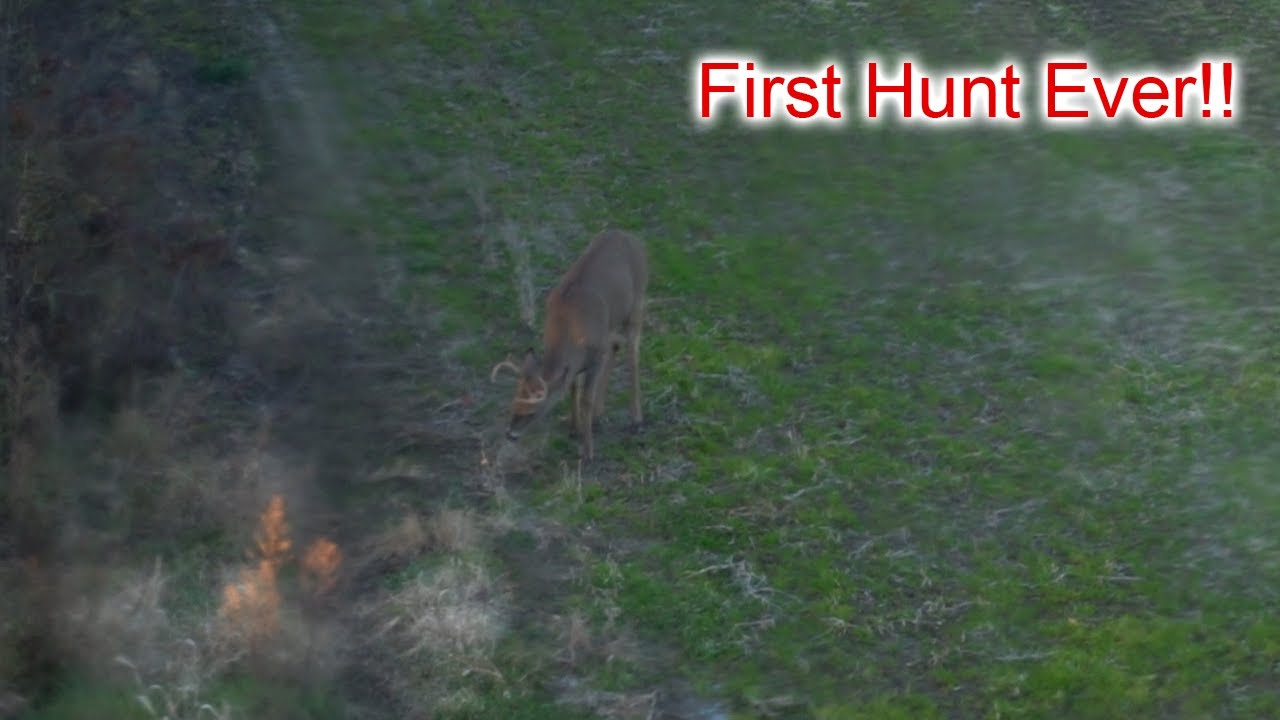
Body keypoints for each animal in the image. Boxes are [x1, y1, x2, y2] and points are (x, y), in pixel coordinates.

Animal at [490, 229, 648, 461]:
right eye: (513, 404)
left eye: (531, 412)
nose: (510, 434)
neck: (568, 327)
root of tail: (629, 236)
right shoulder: (577, 362)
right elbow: (573, 387)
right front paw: (575, 428)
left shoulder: (595, 355)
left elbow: (585, 400)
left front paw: (588, 451)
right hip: (611, 323)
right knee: (616, 346)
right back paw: (599, 416)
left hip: (637, 303)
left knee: (633, 354)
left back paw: (636, 420)